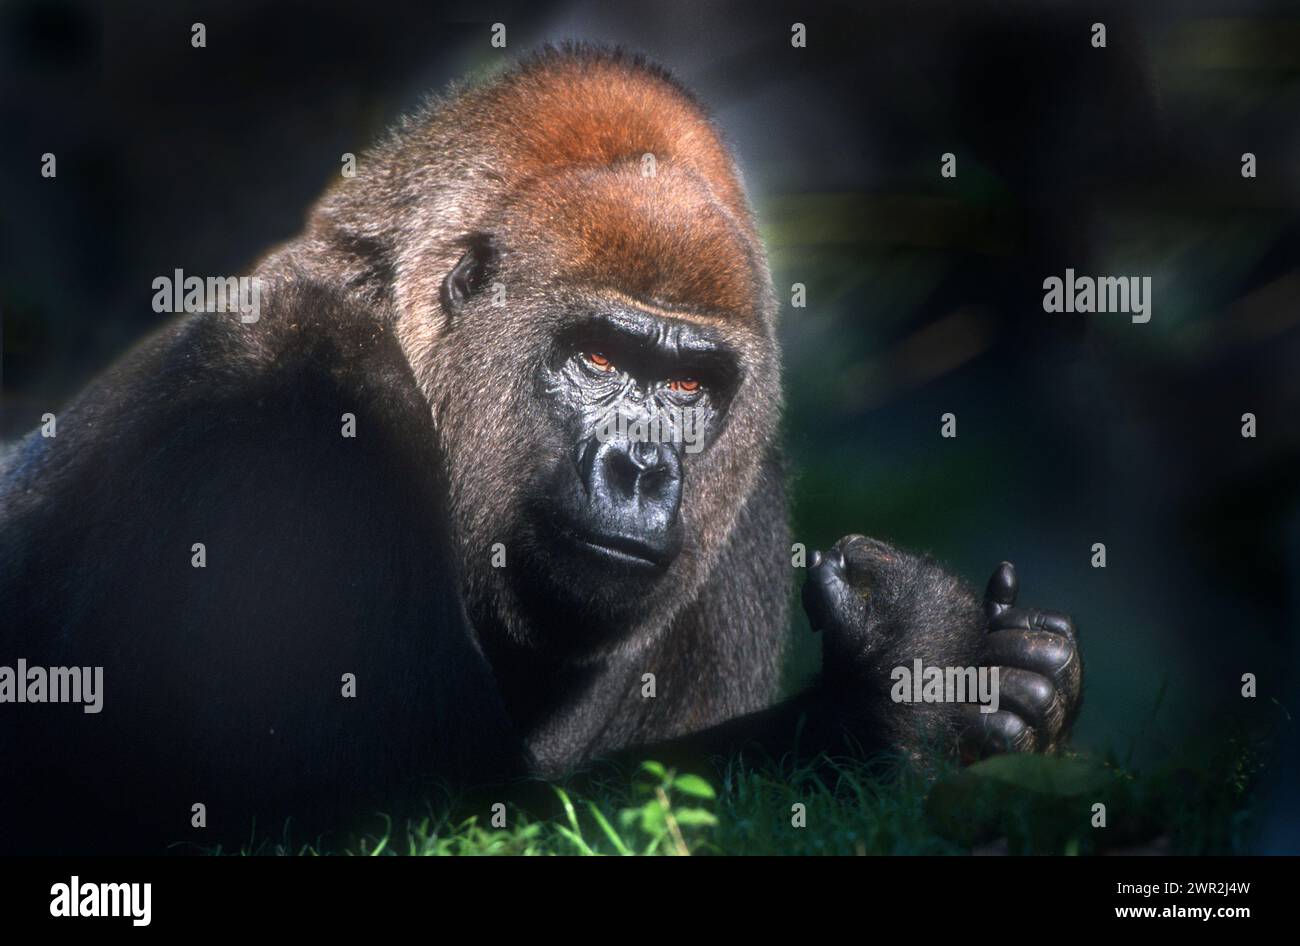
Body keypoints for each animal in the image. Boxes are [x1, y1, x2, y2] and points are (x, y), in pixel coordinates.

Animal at [0, 45, 1081, 853]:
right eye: (596, 357)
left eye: (688, 388)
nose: (643, 471)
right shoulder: (290, 393)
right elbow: (378, 822)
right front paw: (900, 690)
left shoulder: (748, 489)